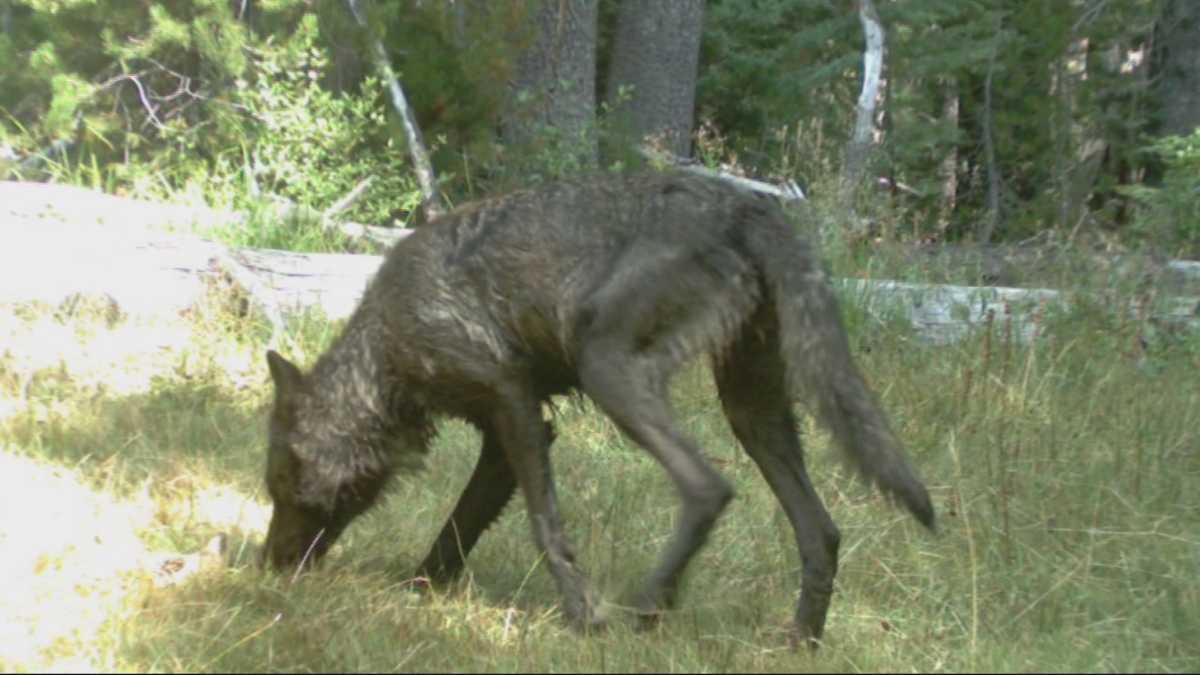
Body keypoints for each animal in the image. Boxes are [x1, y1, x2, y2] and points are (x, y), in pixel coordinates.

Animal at [261, 171, 934, 646]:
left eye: (281, 486)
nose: (266, 565)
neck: (384, 352)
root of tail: (750, 205)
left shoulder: (513, 407)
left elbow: (544, 528)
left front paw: (582, 618)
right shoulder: (508, 436)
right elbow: (458, 529)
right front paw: (421, 592)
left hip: (609, 369)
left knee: (709, 488)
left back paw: (650, 608)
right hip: (751, 409)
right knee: (821, 530)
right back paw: (799, 643)